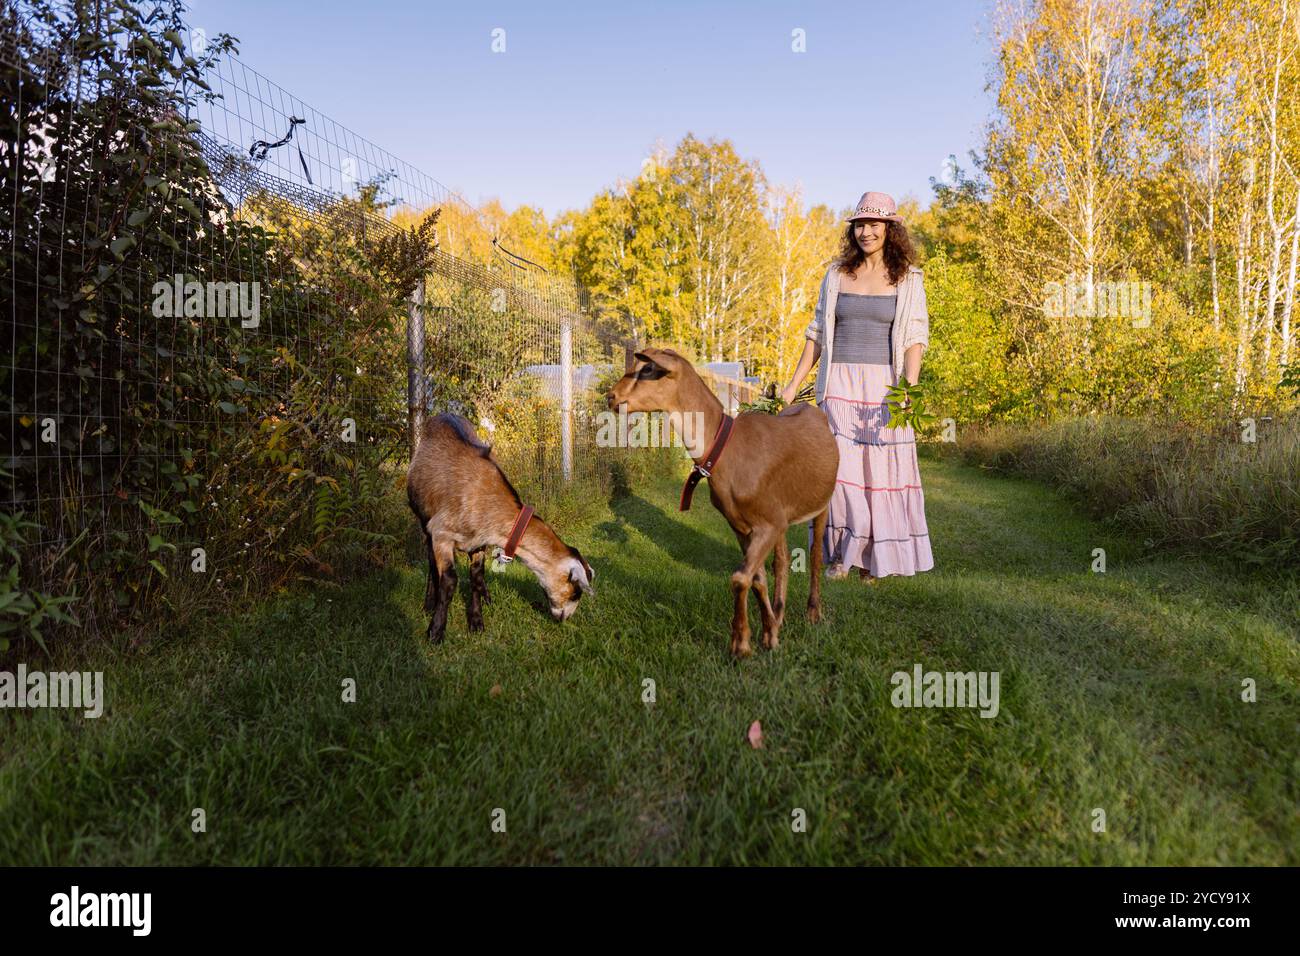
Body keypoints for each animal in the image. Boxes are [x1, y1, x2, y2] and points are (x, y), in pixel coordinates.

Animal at [406, 413, 594, 642]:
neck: (484, 497)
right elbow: (449, 581)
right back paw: (429, 603)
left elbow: (477, 576)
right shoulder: (441, 534)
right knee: (432, 564)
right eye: (576, 592)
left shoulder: (478, 542)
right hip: (425, 523)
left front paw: (477, 621)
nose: (565, 618)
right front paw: (436, 631)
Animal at [606, 348, 837, 657]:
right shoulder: (744, 525)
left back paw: (813, 612)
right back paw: (779, 614)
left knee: (814, 556)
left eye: (647, 369)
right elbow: (756, 579)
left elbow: (739, 577)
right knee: (783, 559)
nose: (611, 397)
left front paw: (741, 645)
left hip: (822, 502)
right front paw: (767, 634)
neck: (727, 450)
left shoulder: (767, 523)